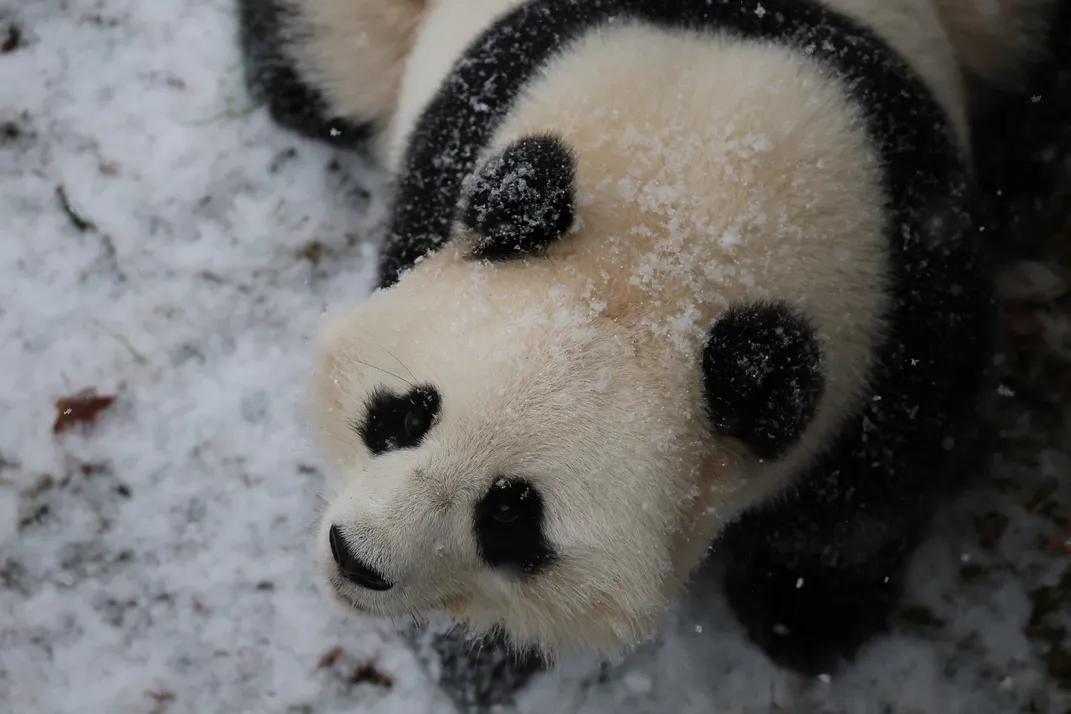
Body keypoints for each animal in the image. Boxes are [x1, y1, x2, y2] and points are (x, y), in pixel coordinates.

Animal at [236, 0, 1071, 702]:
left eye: (512, 511)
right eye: (406, 414)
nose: (358, 558)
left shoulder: (907, 286)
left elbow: (868, 491)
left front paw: (804, 620)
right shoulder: (445, 189)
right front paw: (470, 654)